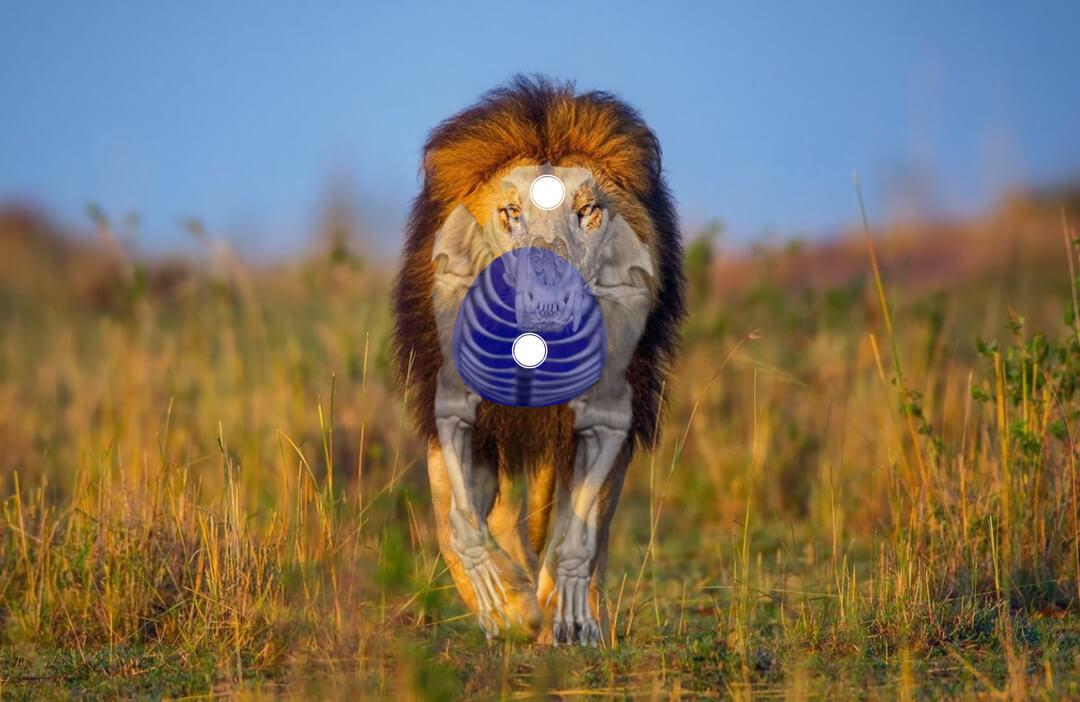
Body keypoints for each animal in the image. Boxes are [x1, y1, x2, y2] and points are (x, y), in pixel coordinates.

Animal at [391, 76, 685, 645]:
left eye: (588, 211)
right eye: (510, 214)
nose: (550, 291)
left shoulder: (610, 417)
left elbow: (583, 525)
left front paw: (563, 615)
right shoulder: (456, 412)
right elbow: (454, 521)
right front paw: (509, 609)